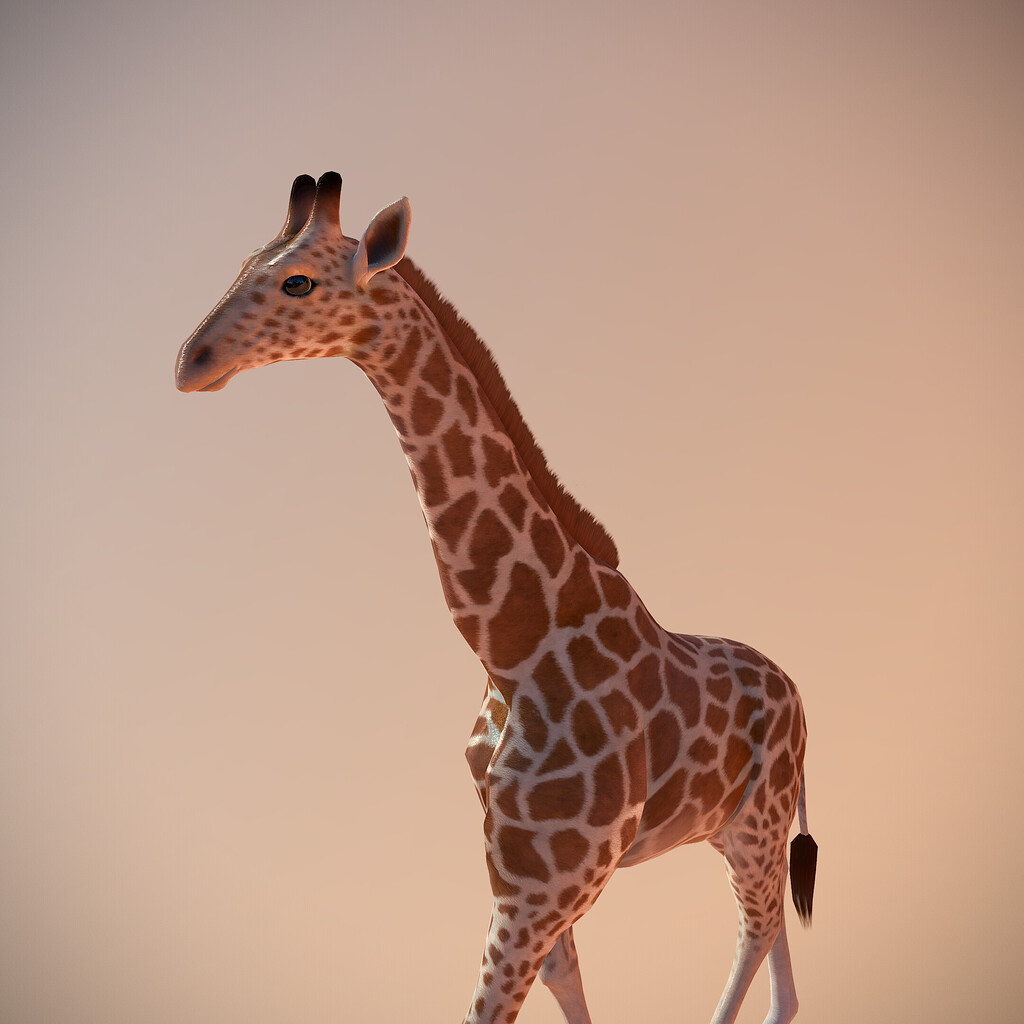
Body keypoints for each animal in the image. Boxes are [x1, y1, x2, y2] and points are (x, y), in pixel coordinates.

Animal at [175, 172, 818, 1024]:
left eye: (297, 282)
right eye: (246, 260)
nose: (191, 361)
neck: (510, 648)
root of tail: (794, 690)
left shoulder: (548, 880)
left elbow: (496, 1002)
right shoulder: (516, 869)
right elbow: (563, 979)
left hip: (757, 822)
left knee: (758, 921)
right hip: (731, 824)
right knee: (774, 933)